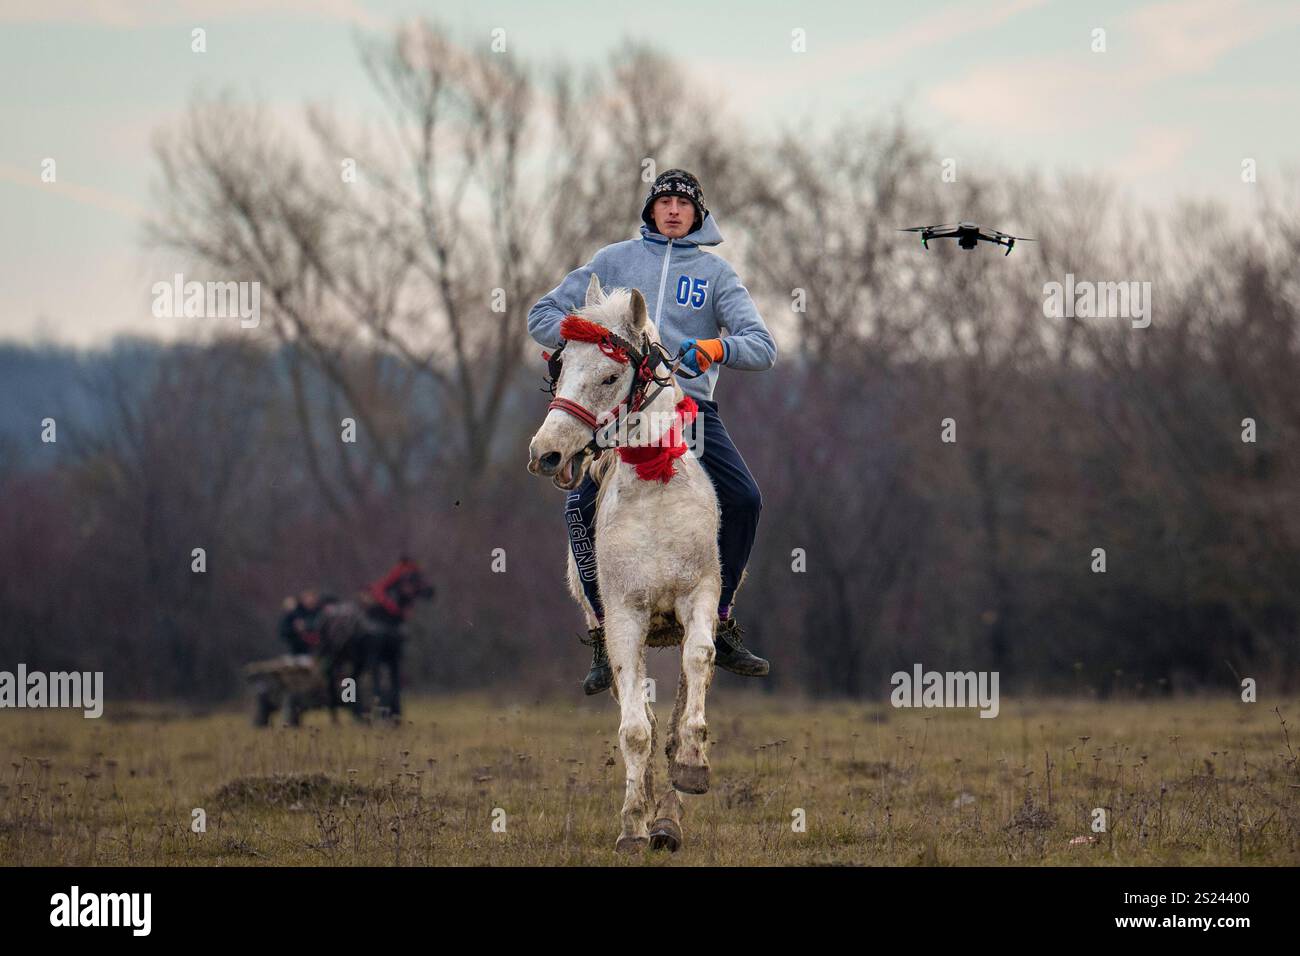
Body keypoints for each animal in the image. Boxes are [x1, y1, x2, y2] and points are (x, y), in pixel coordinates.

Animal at [527, 275, 722, 853]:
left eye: (610, 375)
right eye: (561, 366)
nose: (545, 453)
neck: (654, 482)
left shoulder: (699, 597)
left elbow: (697, 671)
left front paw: (691, 768)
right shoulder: (623, 617)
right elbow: (637, 730)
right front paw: (632, 825)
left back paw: (668, 820)